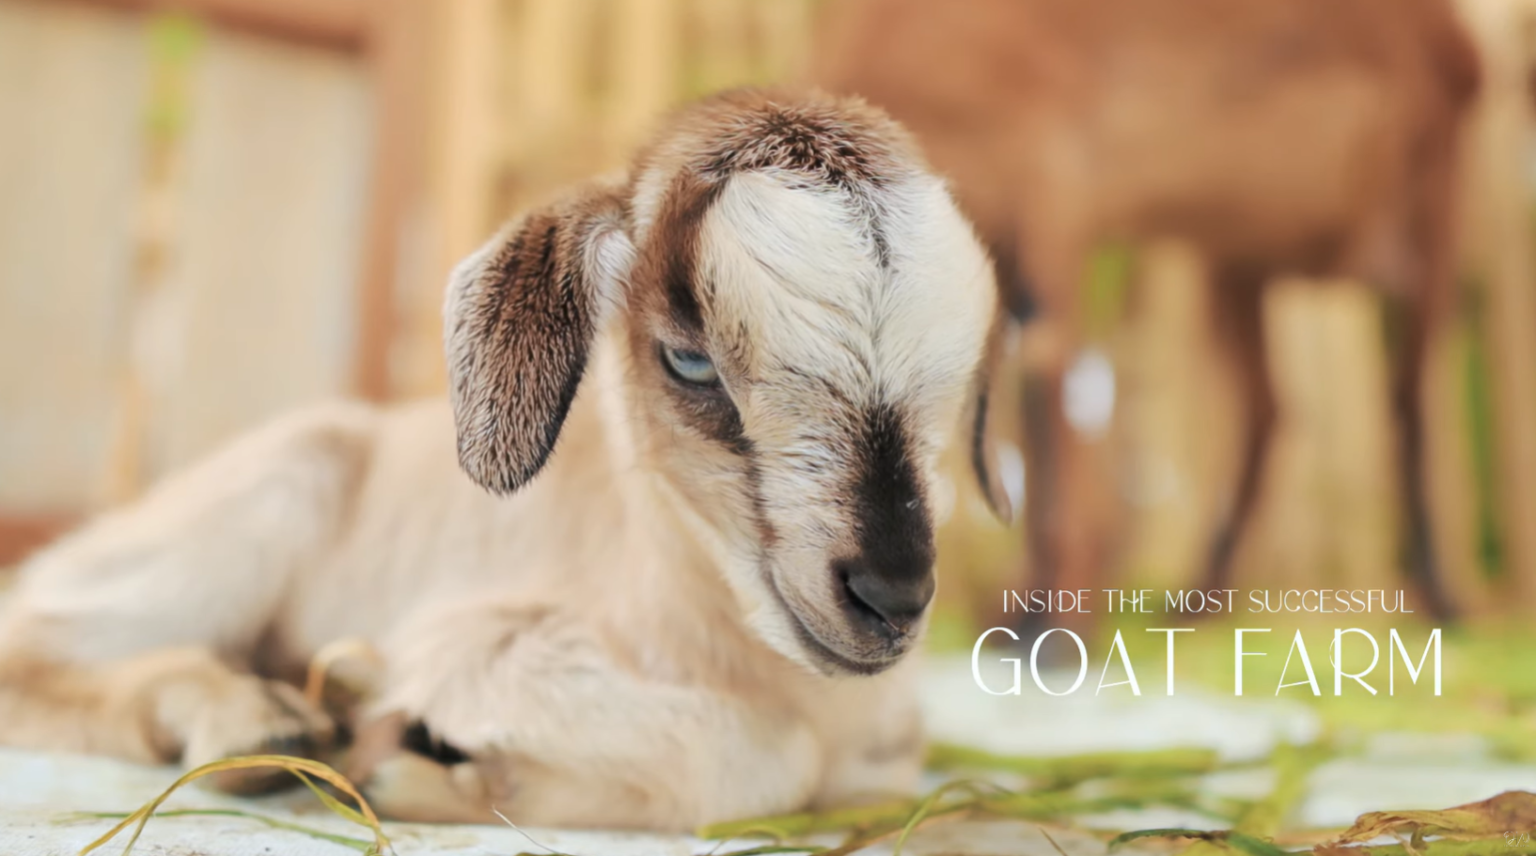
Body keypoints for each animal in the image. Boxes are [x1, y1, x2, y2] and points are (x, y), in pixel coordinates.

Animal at [0, 88, 1008, 830]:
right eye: (688, 360)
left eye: (960, 372)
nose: (891, 594)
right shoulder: (481, 641)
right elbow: (767, 757)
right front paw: (397, 755)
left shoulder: (889, 747)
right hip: (252, 508)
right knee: (35, 652)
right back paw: (263, 722)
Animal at [816, 0, 1481, 618]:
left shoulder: (1054, 196)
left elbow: (1046, 390)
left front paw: (1048, 631)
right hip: (1237, 257)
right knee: (1271, 408)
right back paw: (1200, 600)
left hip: (1432, 201)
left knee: (1405, 398)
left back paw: (1444, 600)